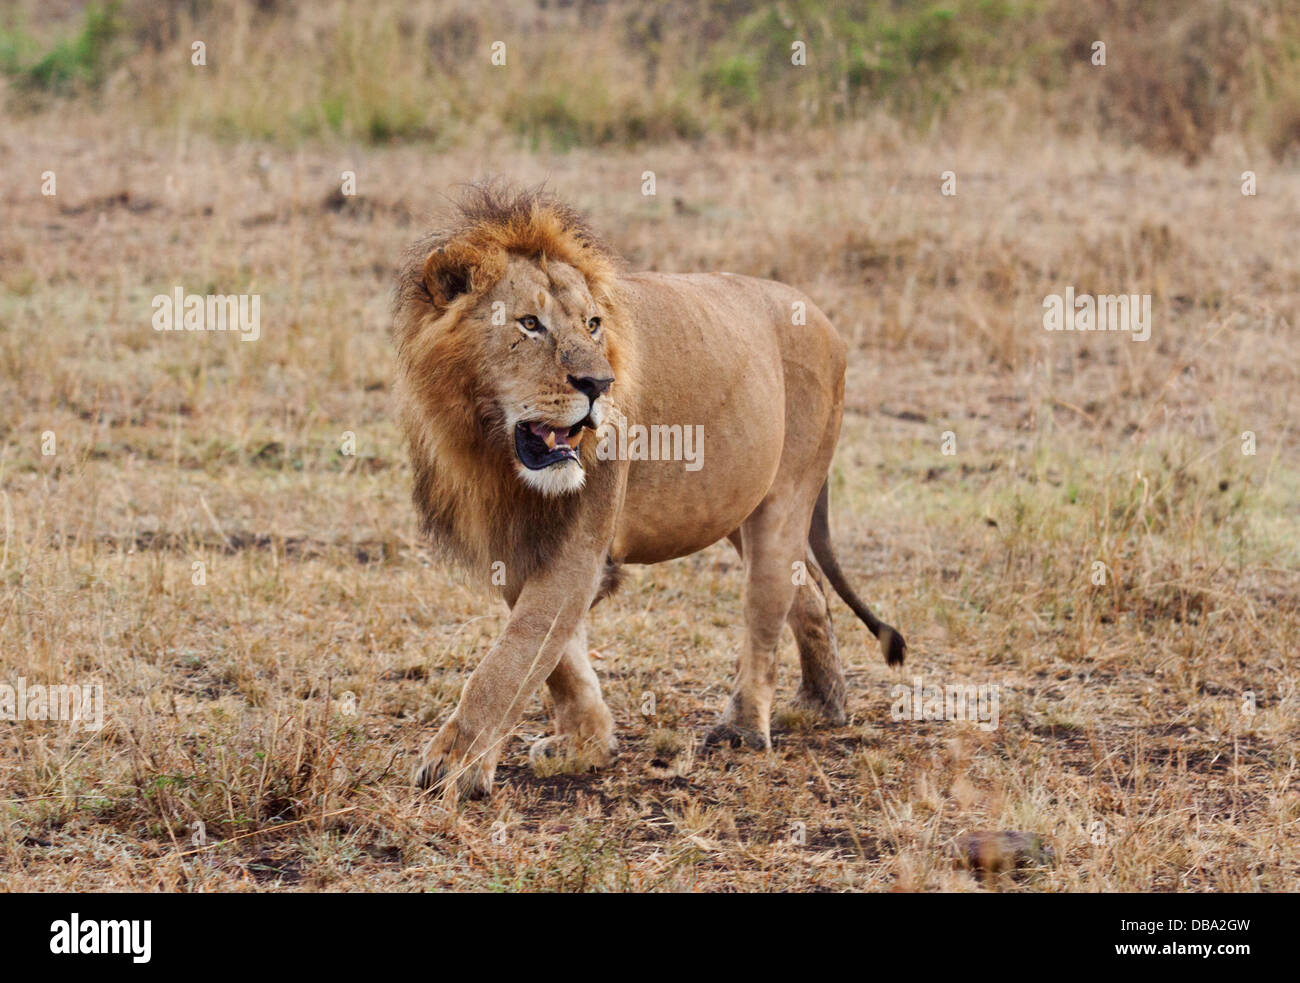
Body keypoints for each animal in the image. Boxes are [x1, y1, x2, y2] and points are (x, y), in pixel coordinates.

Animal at [392, 182, 906, 798]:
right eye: (529, 324)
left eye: (592, 324)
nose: (598, 384)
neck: (492, 450)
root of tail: (820, 313)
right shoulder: (514, 545)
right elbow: (556, 659)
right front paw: (586, 743)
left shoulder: (578, 544)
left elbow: (512, 657)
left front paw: (453, 763)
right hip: (739, 507)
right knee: (807, 591)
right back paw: (821, 704)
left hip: (784, 499)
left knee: (767, 609)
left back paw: (743, 728)